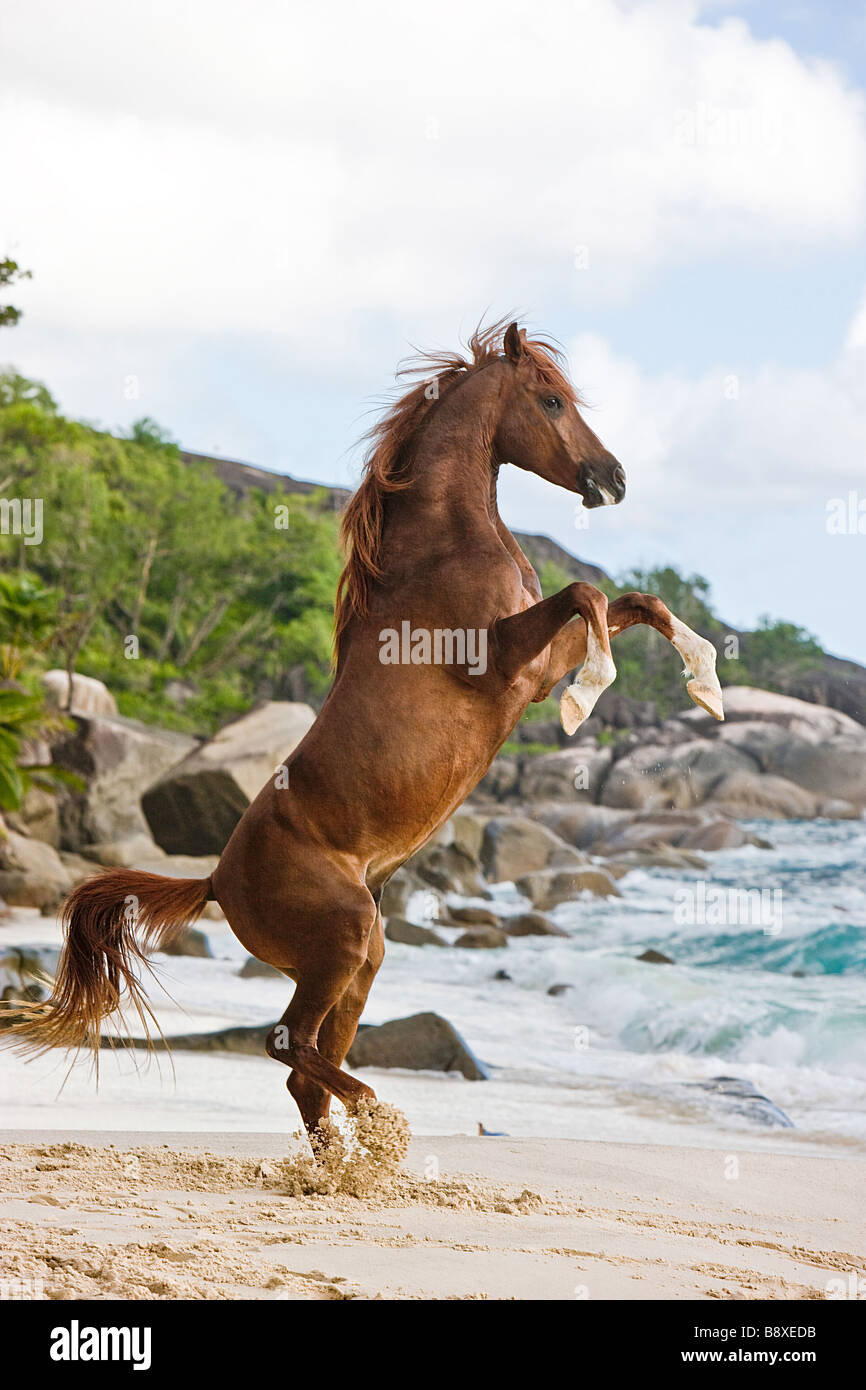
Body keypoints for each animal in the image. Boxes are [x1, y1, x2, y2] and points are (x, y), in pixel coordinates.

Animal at [10, 319, 723, 1146]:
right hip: (345, 938)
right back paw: (380, 1118)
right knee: (287, 1044)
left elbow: (634, 602)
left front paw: (707, 687)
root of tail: (217, 879)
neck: (440, 547)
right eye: (551, 400)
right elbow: (591, 594)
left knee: (303, 1068)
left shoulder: (534, 672)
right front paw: (591, 698)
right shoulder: (502, 666)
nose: (613, 480)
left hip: (363, 958)